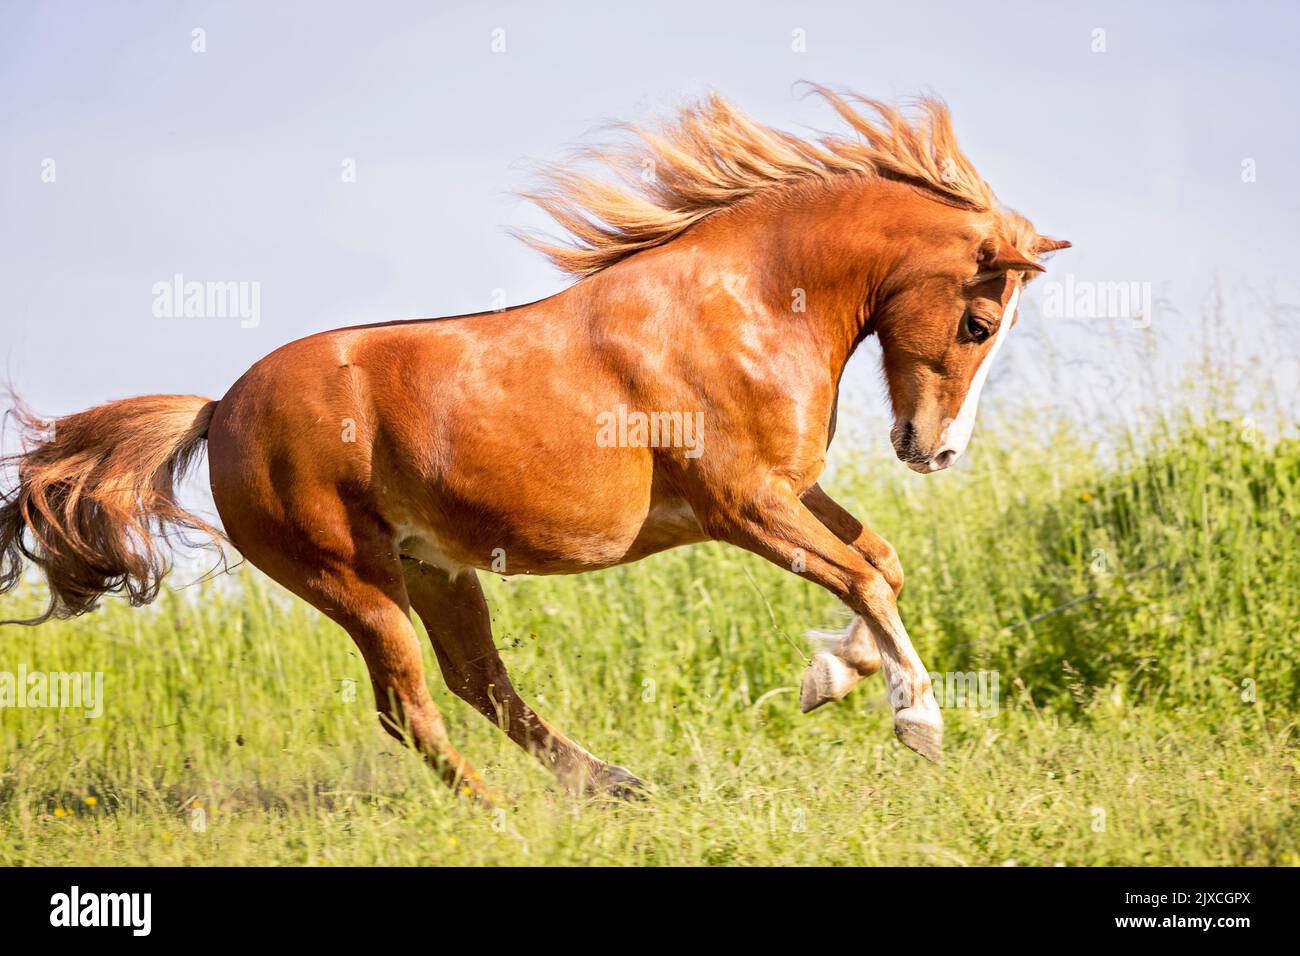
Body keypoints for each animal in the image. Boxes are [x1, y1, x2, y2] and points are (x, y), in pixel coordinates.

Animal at [0, 87, 1068, 803]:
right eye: (980, 322)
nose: (933, 451)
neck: (750, 304)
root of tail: (219, 408)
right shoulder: (742, 506)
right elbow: (863, 578)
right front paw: (919, 725)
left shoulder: (788, 490)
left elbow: (880, 563)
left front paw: (830, 678)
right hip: (351, 581)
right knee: (411, 706)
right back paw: (499, 813)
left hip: (433, 570)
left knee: (480, 684)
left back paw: (611, 786)